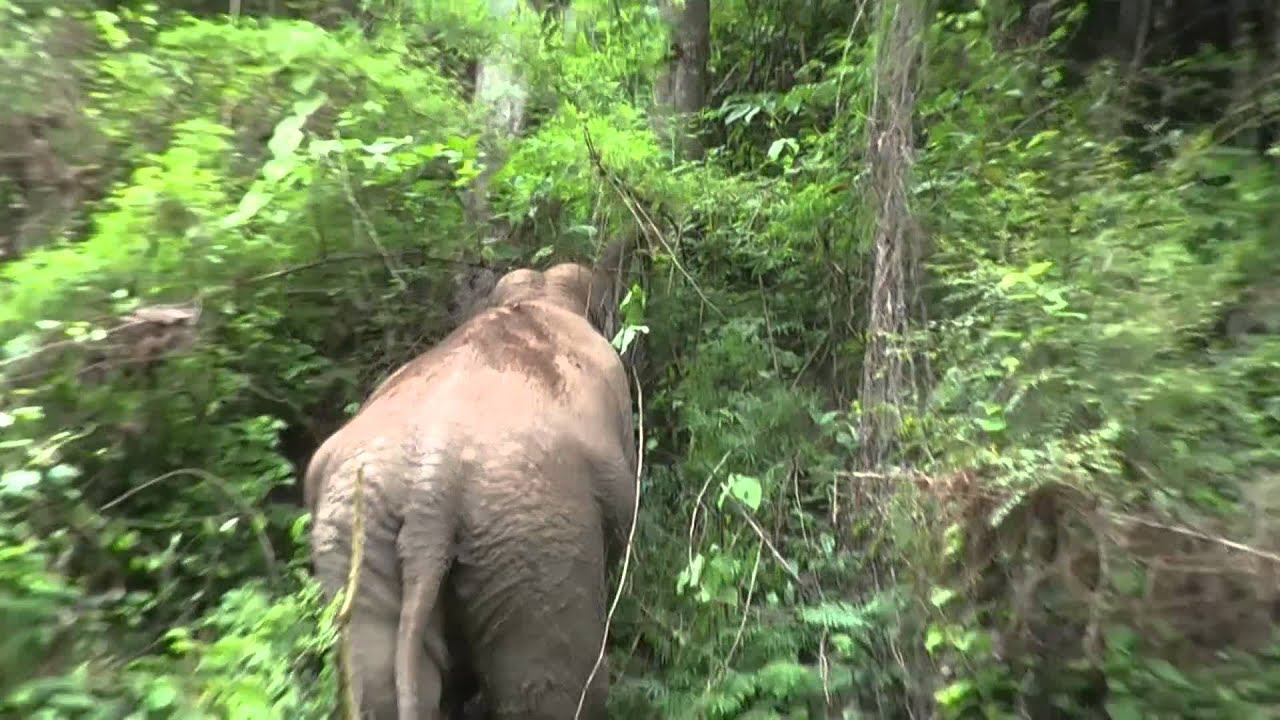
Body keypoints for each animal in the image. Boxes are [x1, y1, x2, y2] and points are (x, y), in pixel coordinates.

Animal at [304, 236, 639, 720]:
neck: (537, 300)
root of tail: (432, 488)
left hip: (353, 532)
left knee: (377, 675)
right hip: (535, 537)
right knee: (554, 686)